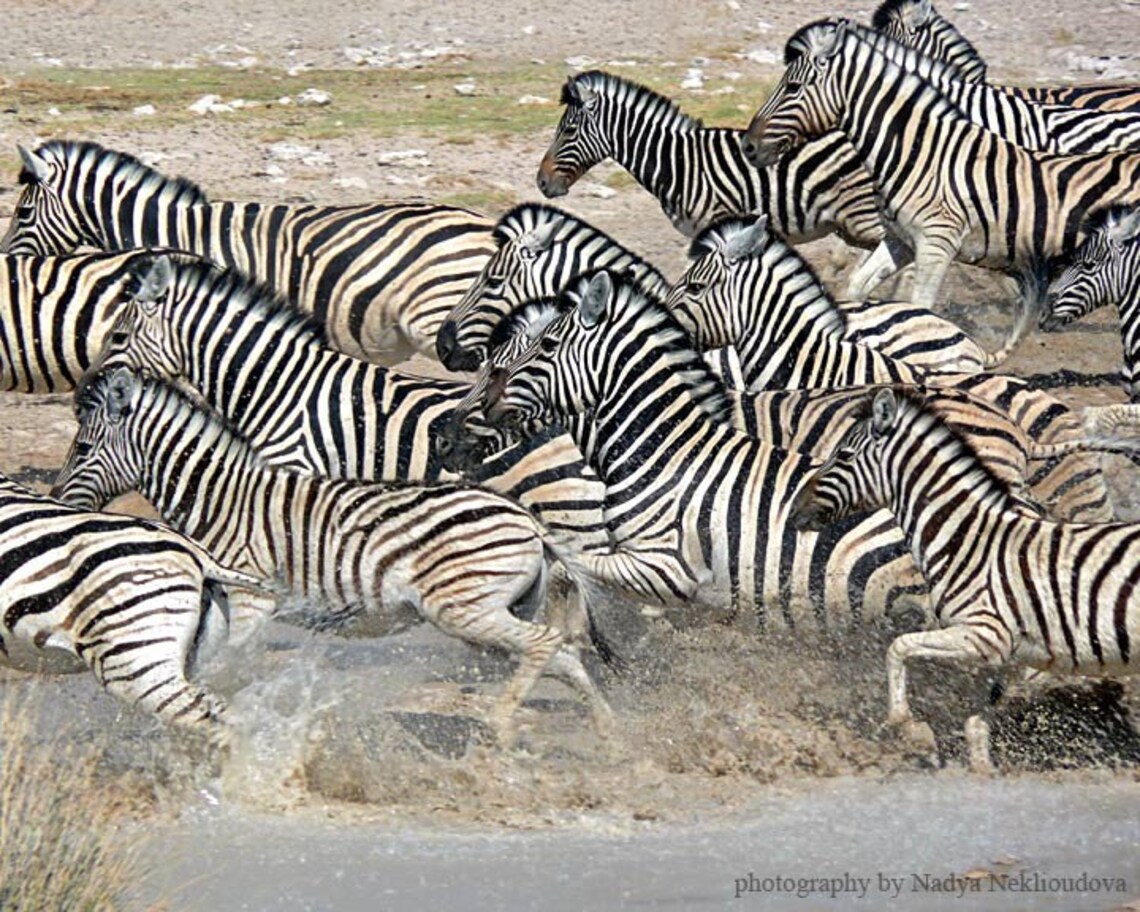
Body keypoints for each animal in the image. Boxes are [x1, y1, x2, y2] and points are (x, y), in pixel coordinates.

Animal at [52, 368, 617, 745]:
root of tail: (531, 522)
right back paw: (609, 736)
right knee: (560, 653)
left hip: (464, 611)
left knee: (545, 644)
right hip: (495, 614)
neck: (222, 496)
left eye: (81, 450)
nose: (59, 502)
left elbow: (226, 665)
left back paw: (501, 723)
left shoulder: (252, 595)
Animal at [743, 20, 1140, 313]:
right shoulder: (900, 239)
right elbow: (857, 285)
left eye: (793, 87)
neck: (921, 149)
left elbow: (920, 305)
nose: (749, 146)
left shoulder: (937, 243)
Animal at [790, 385, 1140, 771]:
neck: (967, 539)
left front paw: (905, 723)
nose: (793, 512)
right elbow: (977, 719)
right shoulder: (1003, 654)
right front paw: (980, 768)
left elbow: (899, 647)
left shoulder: (983, 633)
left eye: (844, 455)